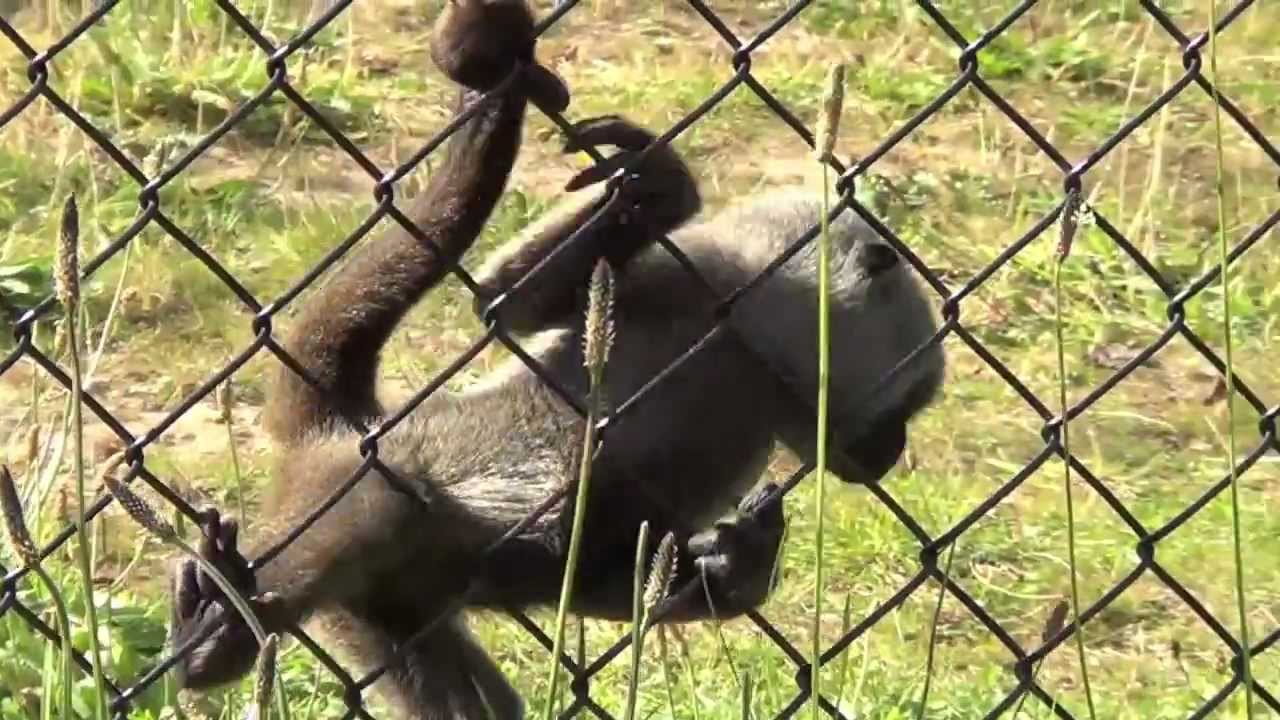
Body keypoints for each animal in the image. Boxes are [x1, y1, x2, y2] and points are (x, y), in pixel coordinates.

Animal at [165, 2, 945, 718]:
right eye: (905, 408)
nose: (889, 452)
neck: (754, 349)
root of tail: (353, 428)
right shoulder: (696, 275)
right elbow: (507, 303)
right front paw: (650, 194)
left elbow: (624, 564)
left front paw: (739, 571)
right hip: (344, 486)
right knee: (377, 508)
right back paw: (211, 643)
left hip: (390, 604)